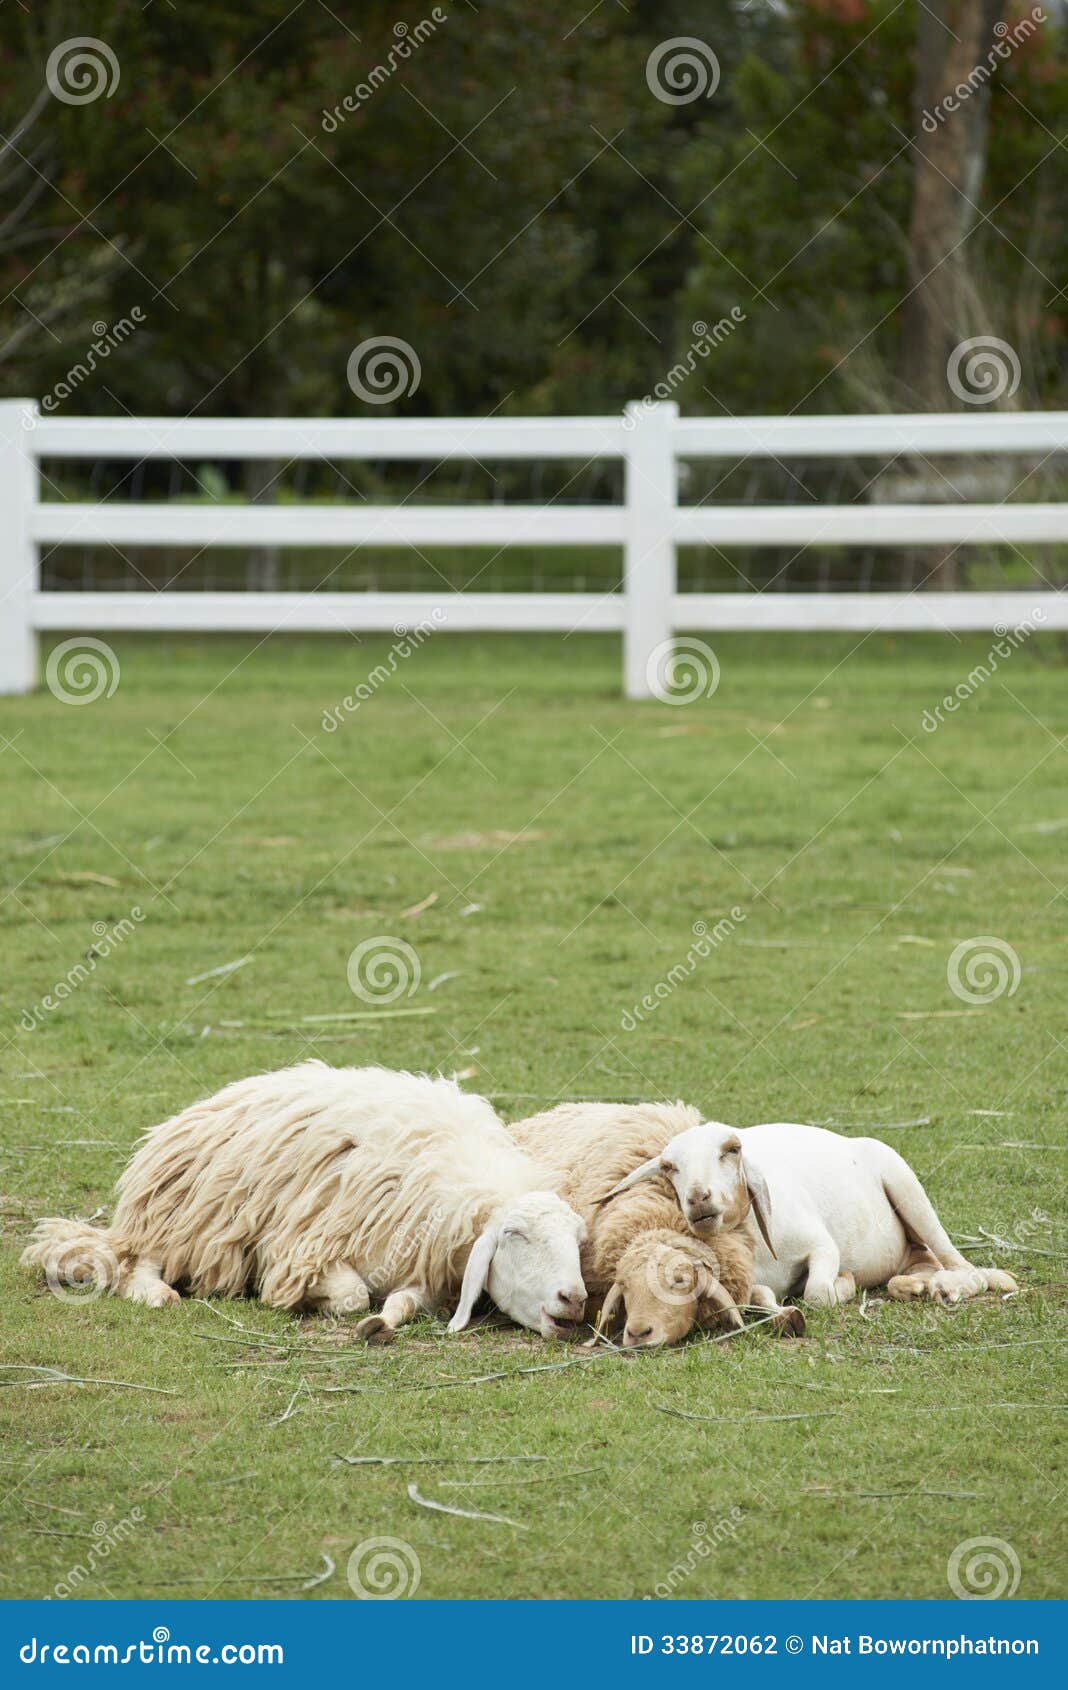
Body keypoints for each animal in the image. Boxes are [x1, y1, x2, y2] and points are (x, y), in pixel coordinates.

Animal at [21, 1062, 588, 1341]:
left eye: (578, 1239)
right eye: (515, 1235)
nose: (575, 1298)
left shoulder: (421, 1267)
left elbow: (402, 1303)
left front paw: (380, 1325)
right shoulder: (305, 1246)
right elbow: (352, 1294)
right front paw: (317, 1304)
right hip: (179, 1218)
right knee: (136, 1263)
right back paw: (158, 1294)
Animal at [605, 1118, 1018, 1307]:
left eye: (732, 1150)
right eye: (669, 1167)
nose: (698, 1199)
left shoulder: (822, 1245)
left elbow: (817, 1292)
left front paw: (844, 1284)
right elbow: (761, 1296)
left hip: (906, 1185)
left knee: (958, 1261)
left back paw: (965, 1284)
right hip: (909, 1248)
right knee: (923, 1264)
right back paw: (916, 1285)